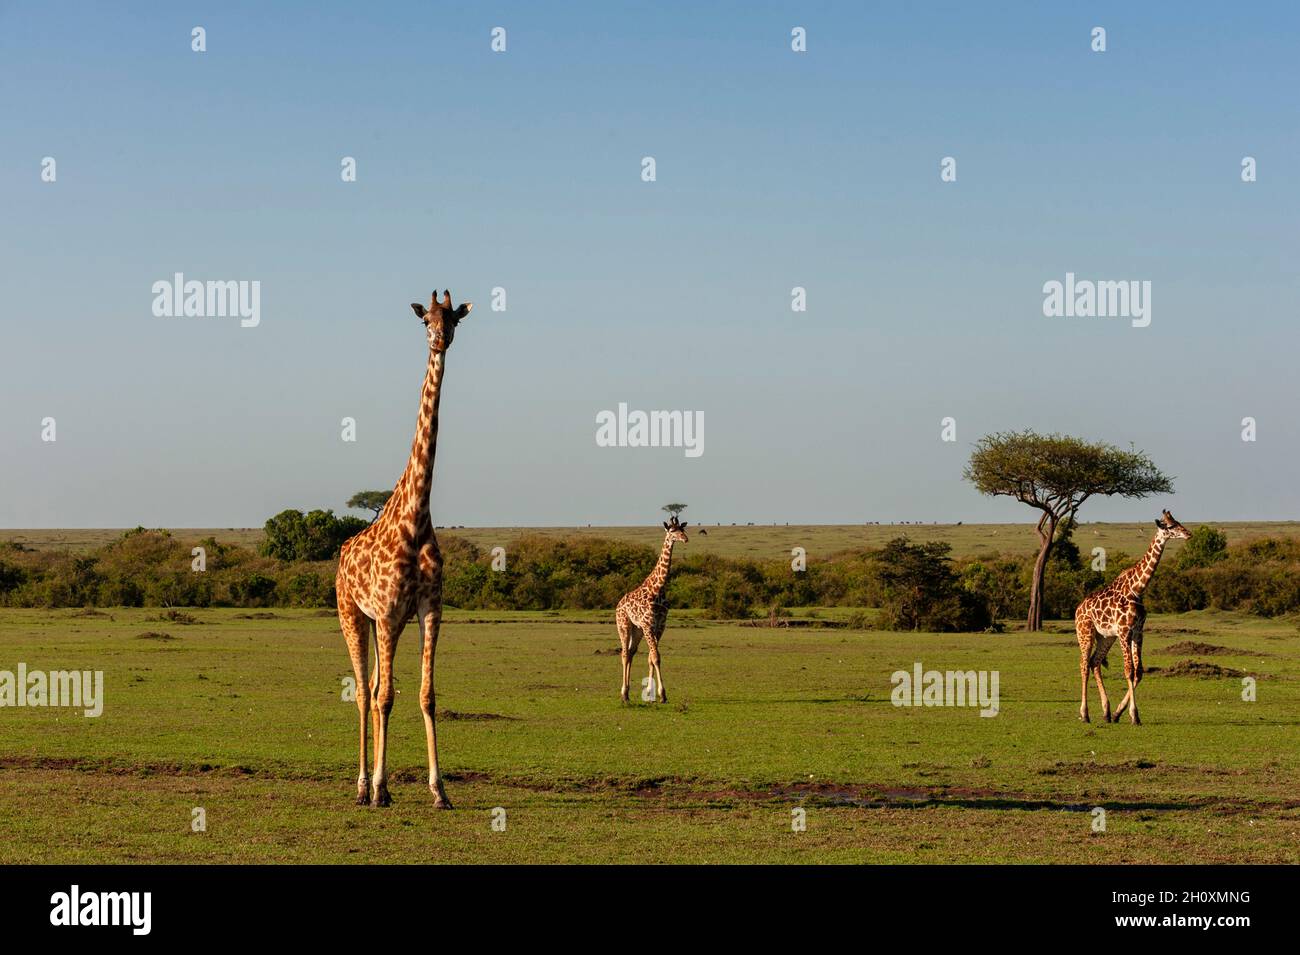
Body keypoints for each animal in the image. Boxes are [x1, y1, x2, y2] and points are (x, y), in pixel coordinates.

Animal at [335, 289, 471, 808]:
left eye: (454, 319)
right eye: (423, 321)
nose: (439, 340)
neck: (415, 518)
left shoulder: (429, 609)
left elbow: (426, 695)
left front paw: (440, 791)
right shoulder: (391, 611)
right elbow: (385, 698)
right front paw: (379, 788)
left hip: (375, 623)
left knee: (373, 686)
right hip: (352, 614)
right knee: (364, 692)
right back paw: (362, 787)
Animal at [616, 516, 689, 703]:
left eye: (683, 529)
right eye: (672, 531)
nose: (685, 538)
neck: (658, 588)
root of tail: (618, 604)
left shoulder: (659, 626)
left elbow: (651, 657)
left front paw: (650, 692)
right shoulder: (649, 625)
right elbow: (655, 657)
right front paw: (662, 694)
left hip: (637, 630)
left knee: (631, 653)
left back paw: (628, 693)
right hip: (624, 625)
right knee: (624, 654)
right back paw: (623, 693)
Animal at [1074, 509, 1190, 725]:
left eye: (1178, 521)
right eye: (1170, 526)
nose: (1188, 534)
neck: (1137, 588)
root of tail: (1078, 609)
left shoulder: (1138, 632)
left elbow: (1139, 672)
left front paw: (1120, 713)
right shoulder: (1124, 631)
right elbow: (1128, 670)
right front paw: (1134, 715)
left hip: (1106, 637)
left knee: (1094, 662)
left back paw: (1106, 712)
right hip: (1085, 632)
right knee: (1084, 665)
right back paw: (1084, 714)